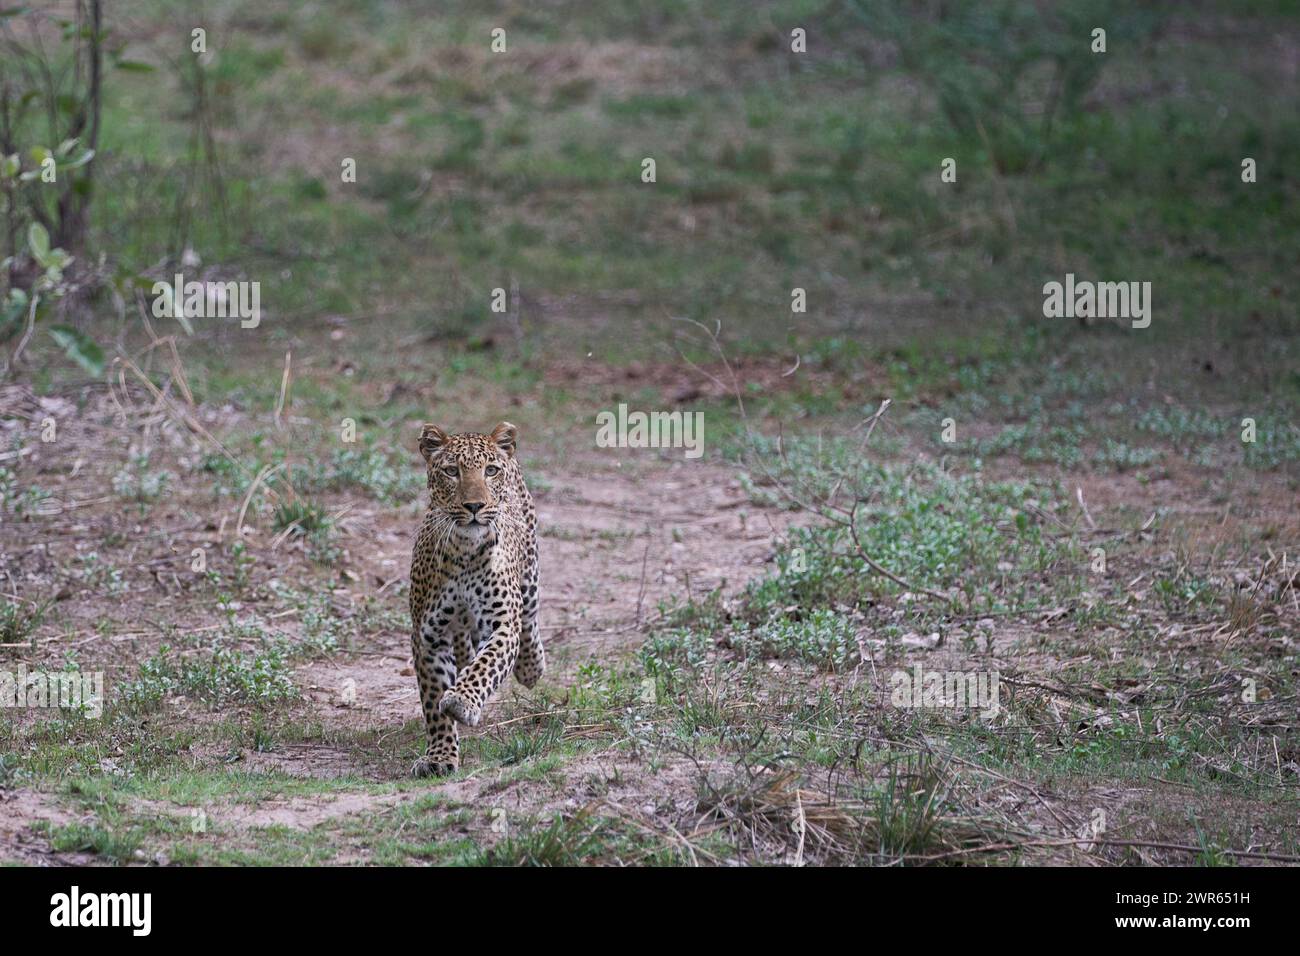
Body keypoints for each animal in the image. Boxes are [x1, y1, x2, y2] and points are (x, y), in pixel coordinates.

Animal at [407, 421, 544, 778]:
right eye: (451, 471)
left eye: (490, 471)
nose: (474, 506)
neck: (464, 551)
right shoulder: (428, 635)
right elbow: (433, 703)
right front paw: (439, 756)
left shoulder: (501, 626)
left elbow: (486, 664)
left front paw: (461, 701)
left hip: (530, 571)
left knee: (529, 618)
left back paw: (531, 667)